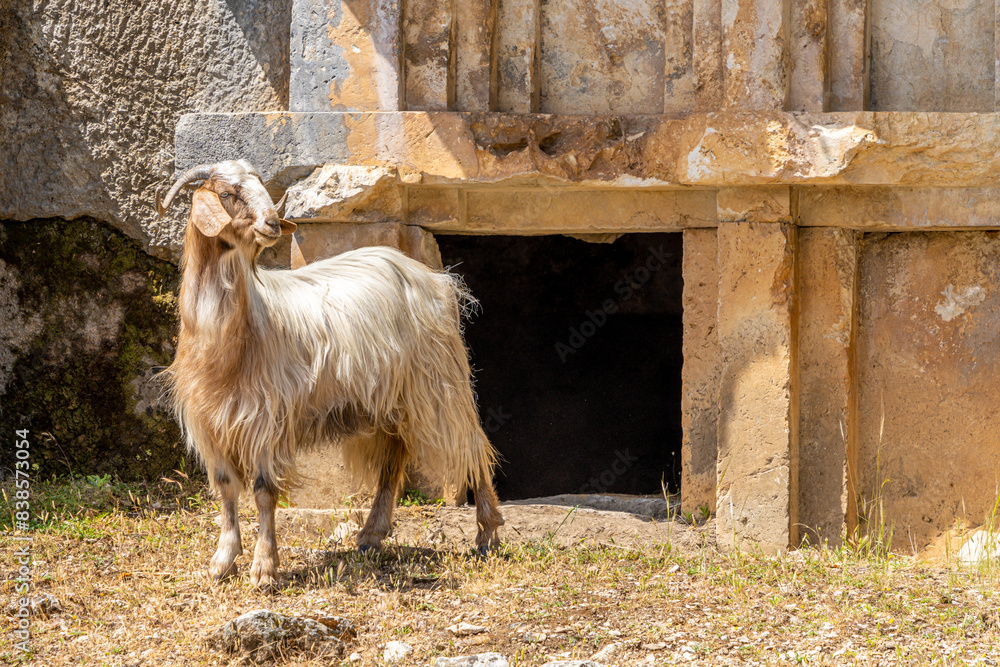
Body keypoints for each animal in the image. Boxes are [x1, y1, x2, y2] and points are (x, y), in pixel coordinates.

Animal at [156, 160, 504, 587]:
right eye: (227, 193)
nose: (272, 223)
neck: (230, 340)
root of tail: (436, 278)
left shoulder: (265, 418)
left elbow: (263, 492)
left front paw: (264, 568)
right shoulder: (210, 423)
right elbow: (225, 490)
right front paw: (222, 561)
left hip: (438, 382)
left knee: (471, 445)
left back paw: (487, 534)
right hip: (392, 400)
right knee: (394, 458)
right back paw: (371, 535)